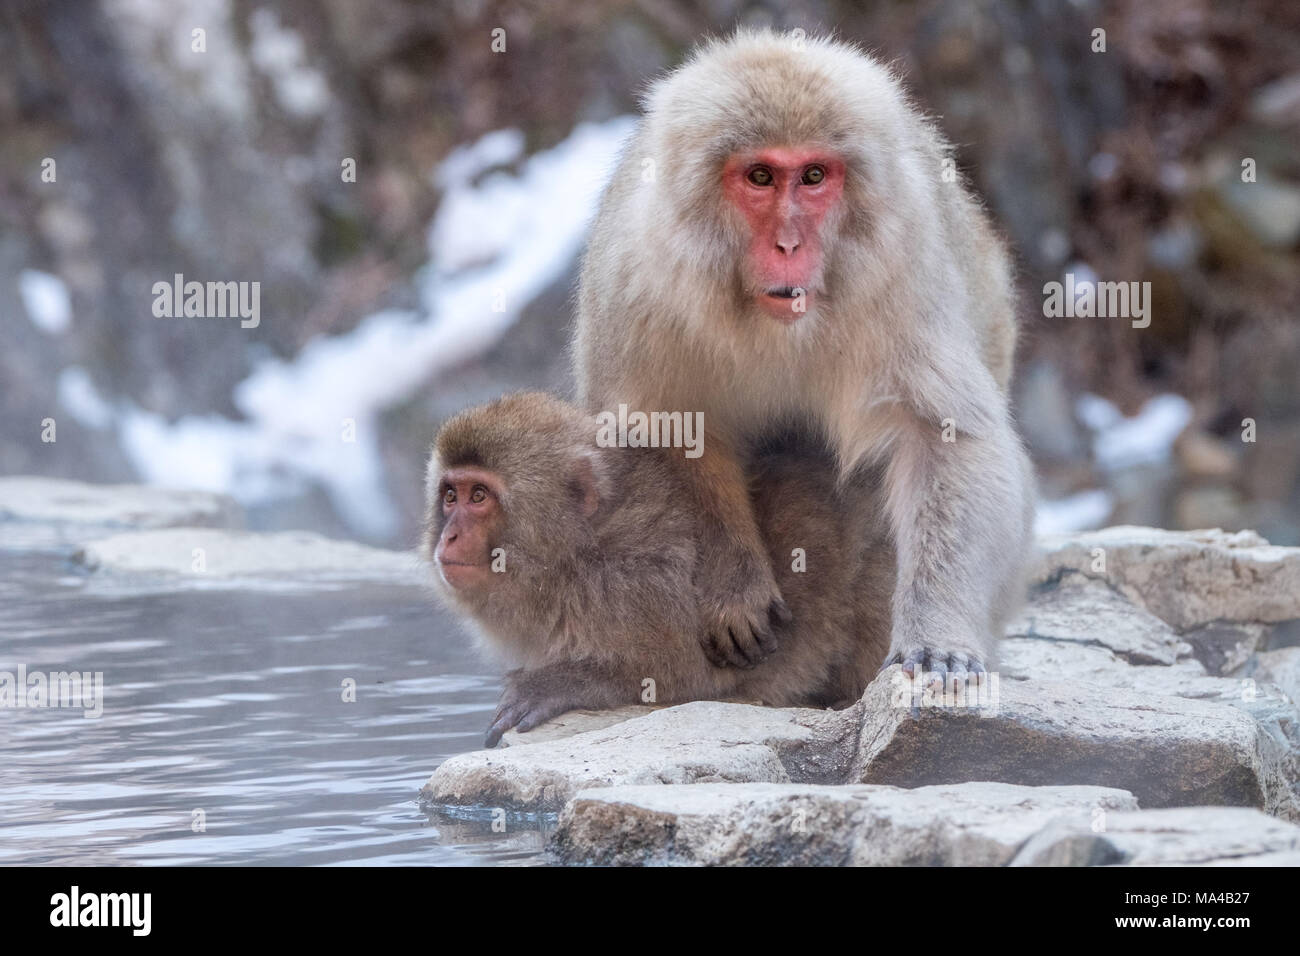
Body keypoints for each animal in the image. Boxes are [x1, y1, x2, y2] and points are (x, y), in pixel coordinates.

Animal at [422, 391, 895, 747]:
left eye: (479, 496)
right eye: (451, 495)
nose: (449, 537)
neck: (579, 555)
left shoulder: (644, 585)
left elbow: (692, 679)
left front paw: (564, 683)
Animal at [574, 29, 1035, 687]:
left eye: (814, 175)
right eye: (761, 176)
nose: (789, 244)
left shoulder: (901, 266)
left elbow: (943, 435)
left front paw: (937, 636)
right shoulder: (635, 277)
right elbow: (658, 431)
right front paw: (734, 585)